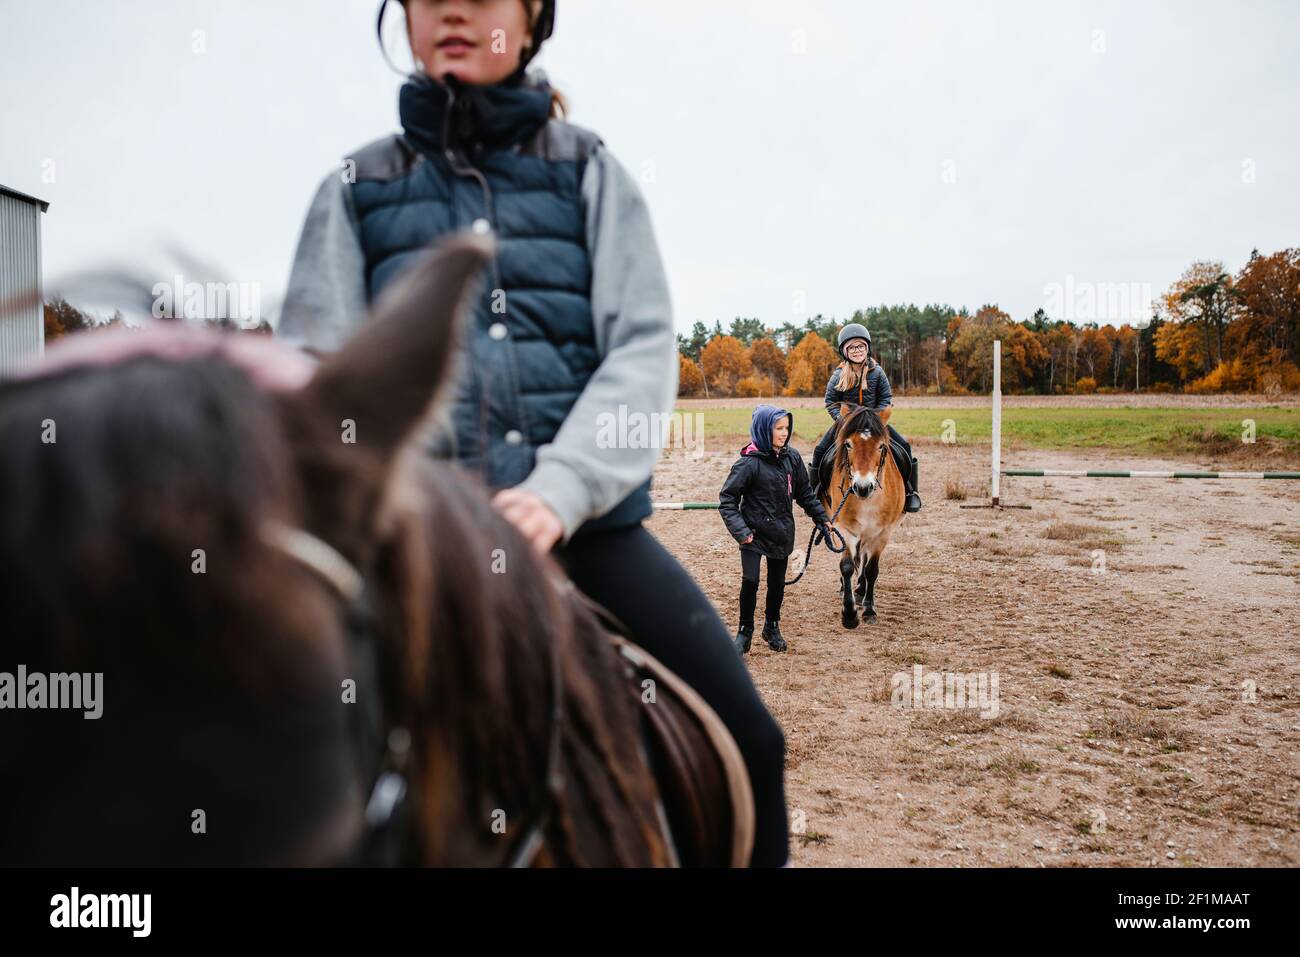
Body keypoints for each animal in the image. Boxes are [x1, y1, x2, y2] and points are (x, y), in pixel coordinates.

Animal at [817, 403, 907, 629]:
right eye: (848, 444)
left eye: (882, 446)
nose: (863, 487)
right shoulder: (844, 528)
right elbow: (847, 566)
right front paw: (849, 614)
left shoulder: (883, 533)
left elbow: (871, 569)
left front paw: (869, 610)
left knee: (865, 559)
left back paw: (861, 591)